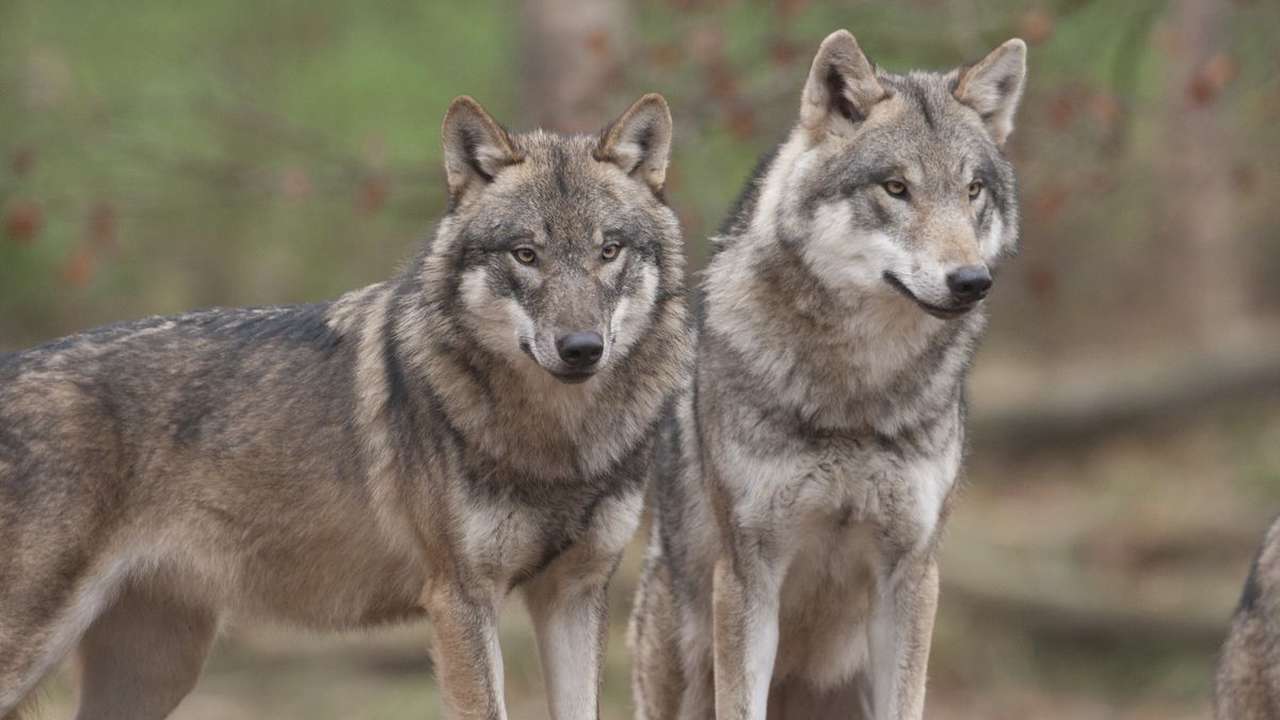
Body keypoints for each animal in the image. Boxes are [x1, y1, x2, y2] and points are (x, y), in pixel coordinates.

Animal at [0, 93, 692, 720]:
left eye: (608, 251)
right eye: (526, 254)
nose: (581, 348)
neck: (560, 442)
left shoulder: (574, 593)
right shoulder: (462, 600)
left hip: (158, 667)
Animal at [628, 30, 1027, 720]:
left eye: (973, 189)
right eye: (895, 188)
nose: (971, 281)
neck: (857, 393)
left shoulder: (911, 575)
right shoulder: (749, 575)